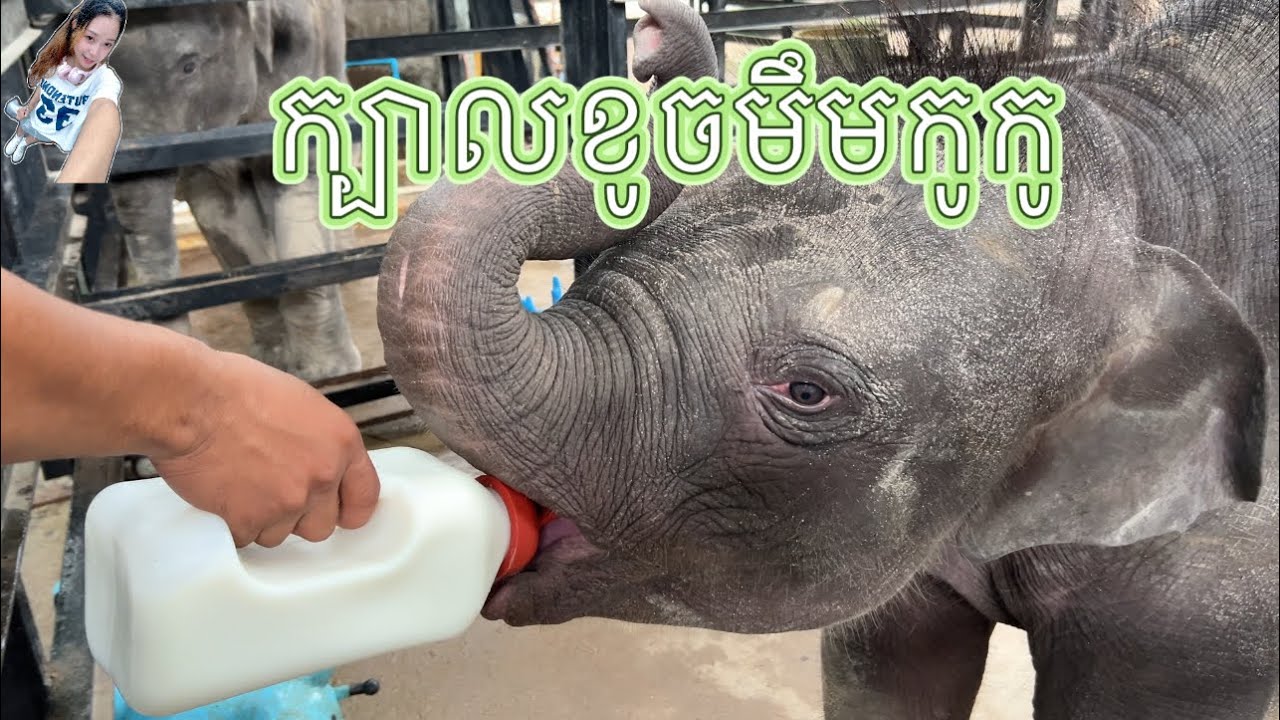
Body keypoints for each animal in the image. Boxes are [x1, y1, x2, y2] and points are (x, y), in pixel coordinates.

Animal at [377, 0, 1279, 716]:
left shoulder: (1209, 591)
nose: (651, 26)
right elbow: (883, 670)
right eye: (596, 263)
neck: (1139, 162)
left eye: (807, 392)